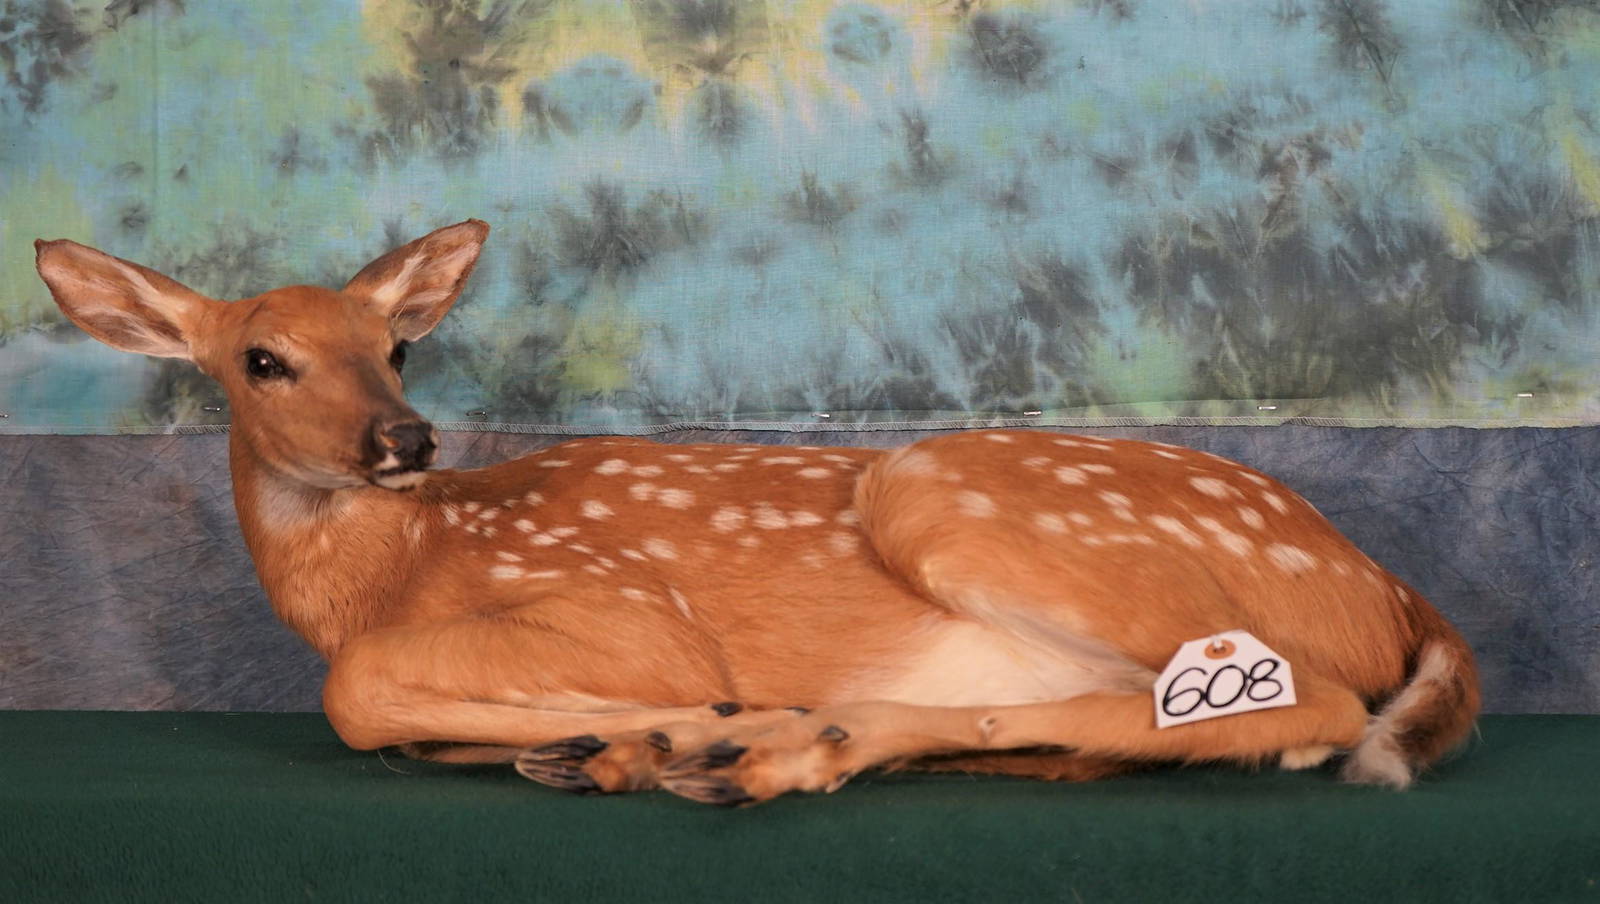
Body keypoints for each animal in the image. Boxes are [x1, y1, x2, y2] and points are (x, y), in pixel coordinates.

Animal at [33, 220, 1480, 805]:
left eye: (398, 347)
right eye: (262, 358)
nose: (406, 439)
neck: (395, 565)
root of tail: (1393, 589)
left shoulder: (628, 614)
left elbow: (355, 694)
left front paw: (653, 720)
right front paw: (594, 743)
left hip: (949, 497)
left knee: (1307, 708)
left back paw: (730, 740)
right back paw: (746, 749)